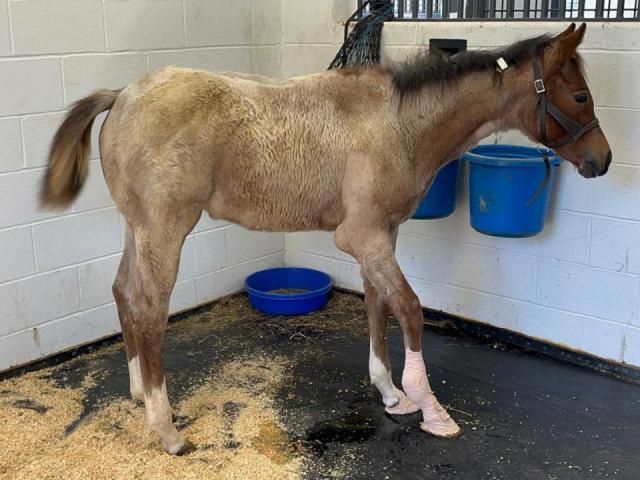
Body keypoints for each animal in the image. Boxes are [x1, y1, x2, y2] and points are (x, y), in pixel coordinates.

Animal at [40, 23, 611, 455]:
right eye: (580, 96)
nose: (601, 161)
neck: (397, 123)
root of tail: (123, 94)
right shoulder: (363, 237)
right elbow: (410, 309)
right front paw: (429, 407)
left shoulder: (381, 235)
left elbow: (379, 305)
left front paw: (391, 393)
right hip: (164, 230)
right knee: (150, 309)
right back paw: (167, 430)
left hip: (137, 227)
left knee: (123, 293)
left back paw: (139, 394)